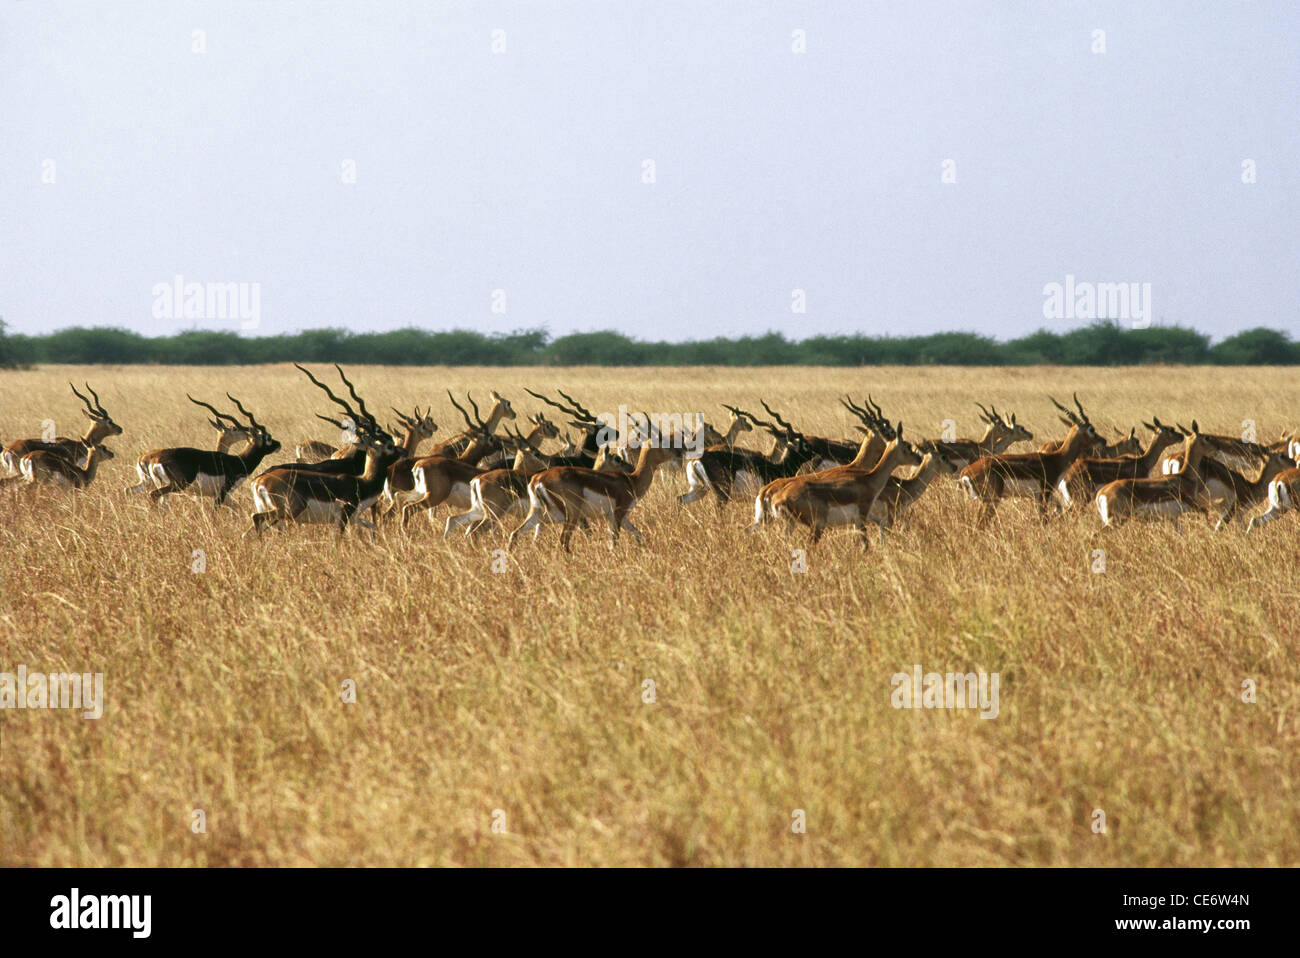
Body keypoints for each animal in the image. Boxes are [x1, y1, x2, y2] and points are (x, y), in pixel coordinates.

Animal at [128, 396, 281, 507]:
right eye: (268, 437)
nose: (278, 444)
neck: (236, 461)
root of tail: (152, 460)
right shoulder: (221, 494)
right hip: (177, 485)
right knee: (153, 494)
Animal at [507, 428, 679, 551]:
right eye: (662, 442)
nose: (678, 453)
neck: (632, 481)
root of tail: (538, 480)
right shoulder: (617, 515)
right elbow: (613, 543)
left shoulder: (619, 517)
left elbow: (638, 534)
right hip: (571, 516)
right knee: (563, 541)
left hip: (537, 514)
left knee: (514, 534)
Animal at [762, 424, 923, 547]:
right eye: (907, 447)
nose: (919, 459)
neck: (867, 477)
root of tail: (774, 496)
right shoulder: (861, 517)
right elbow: (865, 544)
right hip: (816, 527)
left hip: (791, 525)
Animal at [958, 395, 1102, 525]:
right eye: (1091, 429)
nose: (1102, 440)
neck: (1055, 459)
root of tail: (966, 472)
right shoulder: (1044, 494)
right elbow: (1044, 519)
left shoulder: (1039, 496)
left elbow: (1056, 509)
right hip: (992, 500)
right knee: (981, 523)